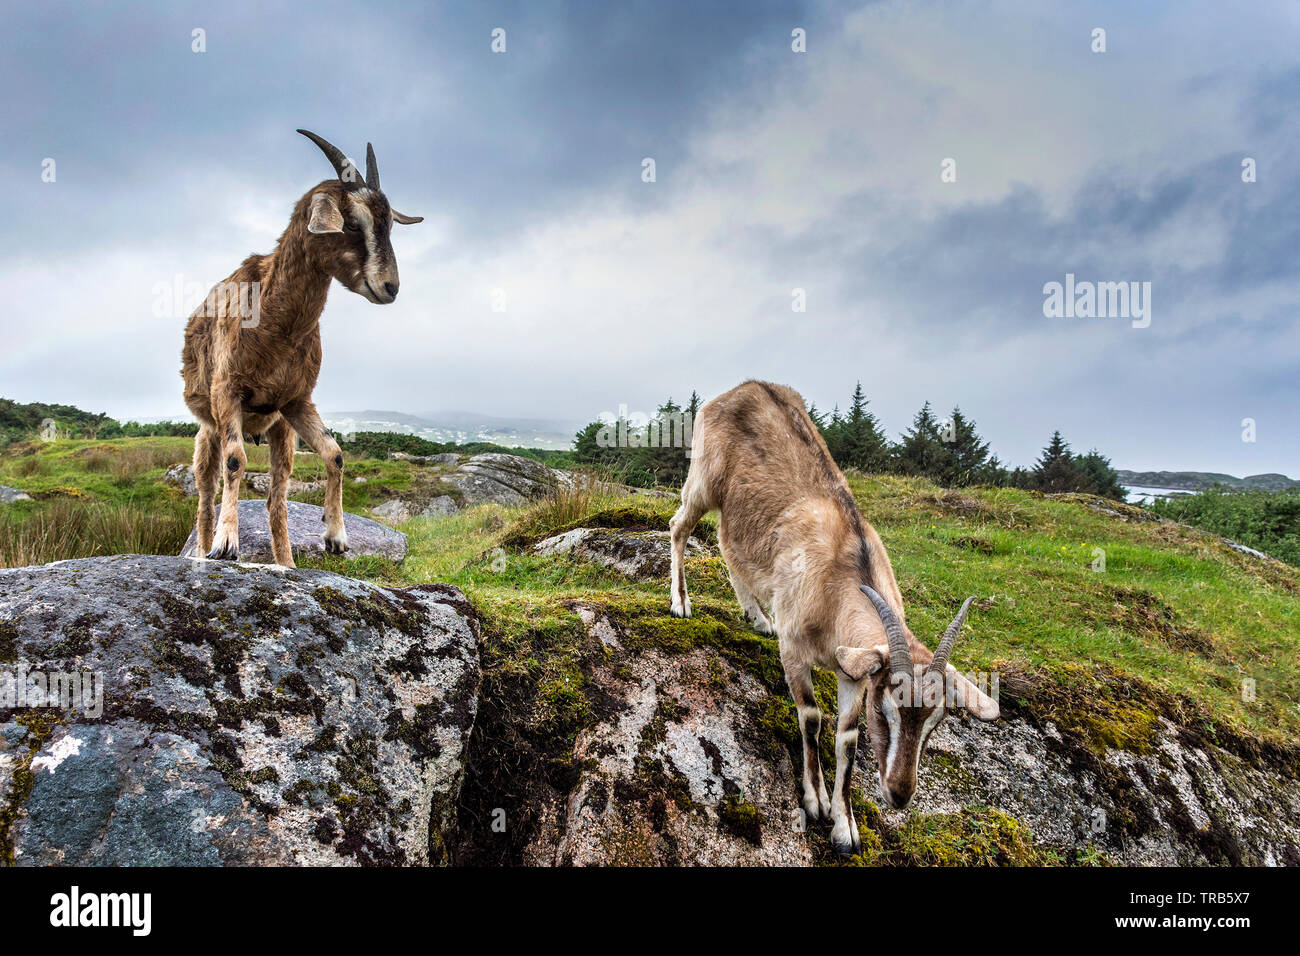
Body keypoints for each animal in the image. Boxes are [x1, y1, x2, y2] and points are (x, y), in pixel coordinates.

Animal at [181, 130, 422, 566]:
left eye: (389, 225)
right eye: (352, 222)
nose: (390, 287)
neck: (276, 324)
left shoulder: (296, 401)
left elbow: (335, 453)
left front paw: (336, 537)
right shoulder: (228, 392)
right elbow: (236, 460)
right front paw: (227, 543)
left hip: (280, 430)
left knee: (276, 497)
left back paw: (286, 563)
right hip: (206, 428)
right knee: (206, 493)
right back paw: (204, 552)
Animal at [668, 380, 999, 854]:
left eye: (935, 723)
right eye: (885, 709)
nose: (899, 794)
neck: (841, 572)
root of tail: (742, 388)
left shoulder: (853, 671)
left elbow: (847, 737)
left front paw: (846, 828)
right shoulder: (794, 652)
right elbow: (810, 718)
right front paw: (815, 801)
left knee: (729, 546)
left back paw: (758, 617)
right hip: (705, 479)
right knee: (680, 524)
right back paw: (680, 601)